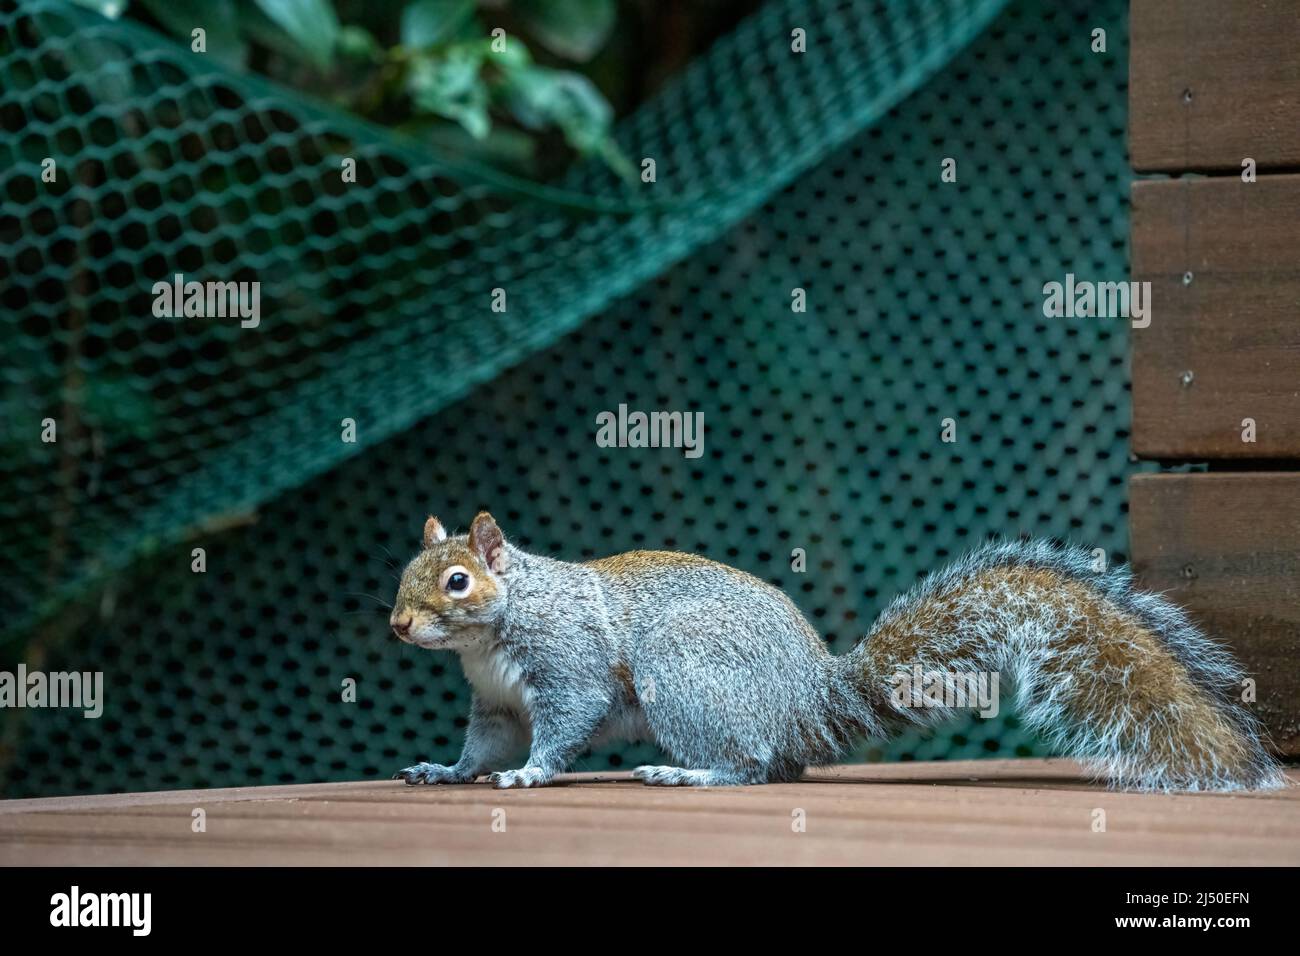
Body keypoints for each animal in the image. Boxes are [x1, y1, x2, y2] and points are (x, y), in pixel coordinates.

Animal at [388, 512, 1283, 793]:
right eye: (403, 575)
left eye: (458, 581)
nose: (398, 627)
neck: (492, 635)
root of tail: (809, 698)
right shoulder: (495, 702)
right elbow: (482, 745)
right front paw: (446, 770)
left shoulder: (566, 664)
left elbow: (565, 723)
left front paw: (532, 774)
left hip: (685, 672)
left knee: (754, 764)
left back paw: (691, 772)